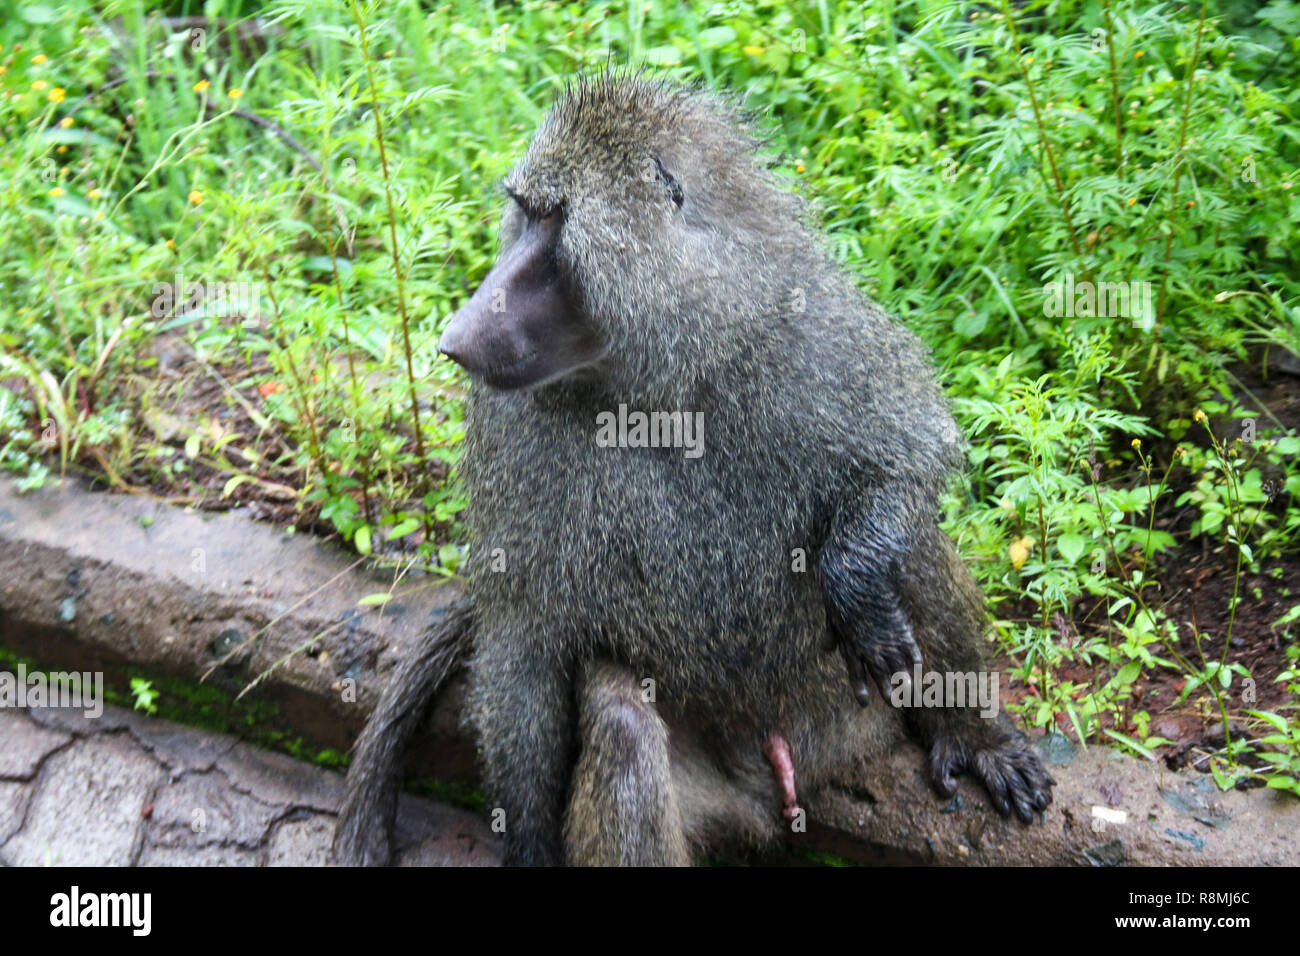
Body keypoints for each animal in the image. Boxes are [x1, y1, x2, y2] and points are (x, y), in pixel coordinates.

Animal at [333, 71, 1052, 867]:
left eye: (554, 221)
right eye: (525, 214)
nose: (456, 338)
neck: (659, 380)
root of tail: (780, 779)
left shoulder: (809, 326)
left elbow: (910, 452)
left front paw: (857, 579)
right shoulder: (506, 427)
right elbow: (525, 643)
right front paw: (527, 843)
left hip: (854, 720)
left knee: (913, 540)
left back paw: (969, 735)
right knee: (621, 724)